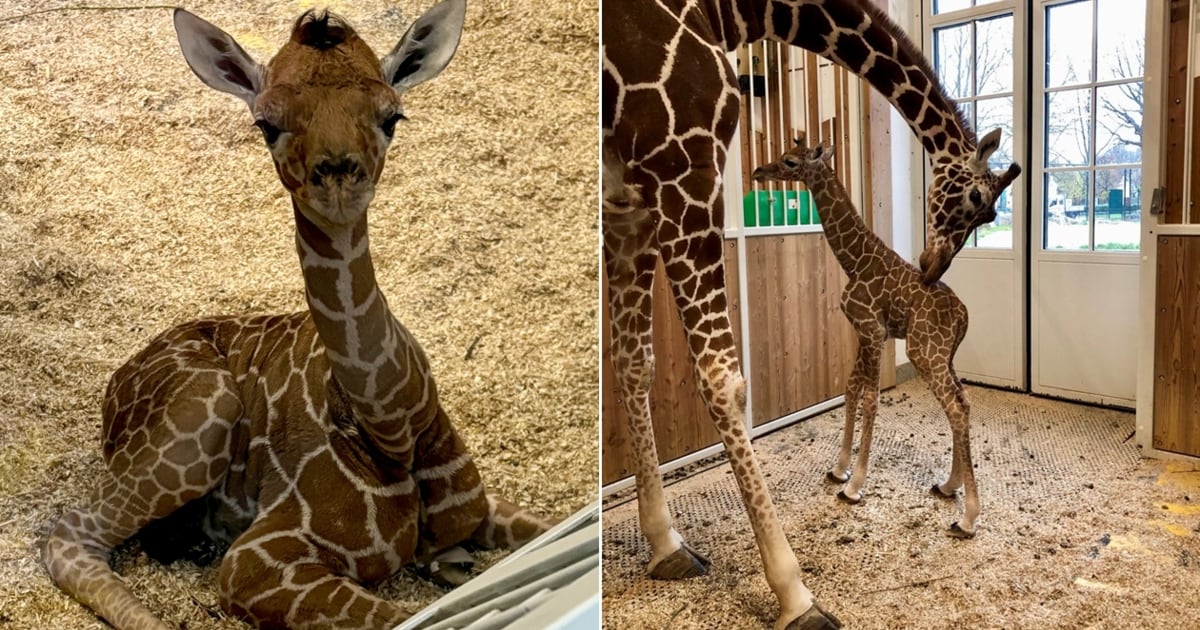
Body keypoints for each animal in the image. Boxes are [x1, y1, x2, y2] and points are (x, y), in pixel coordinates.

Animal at [41, 3, 555, 629]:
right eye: (266, 124)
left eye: (392, 115)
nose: (337, 176)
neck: (392, 427)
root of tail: (118, 380)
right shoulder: (258, 559)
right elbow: (398, 615)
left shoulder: (483, 507)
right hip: (205, 412)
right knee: (68, 537)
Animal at [754, 138, 999, 538]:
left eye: (789, 161)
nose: (759, 171)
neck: (853, 260)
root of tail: (964, 317)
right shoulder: (866, 332)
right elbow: (851, 388)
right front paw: (839, 469)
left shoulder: (870, 328)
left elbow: (870, 399)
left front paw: (854, 486)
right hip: (943, 354)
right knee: (962, 402)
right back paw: (949, 486)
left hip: (923, 351)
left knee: (956, 405)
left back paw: (968, 518)